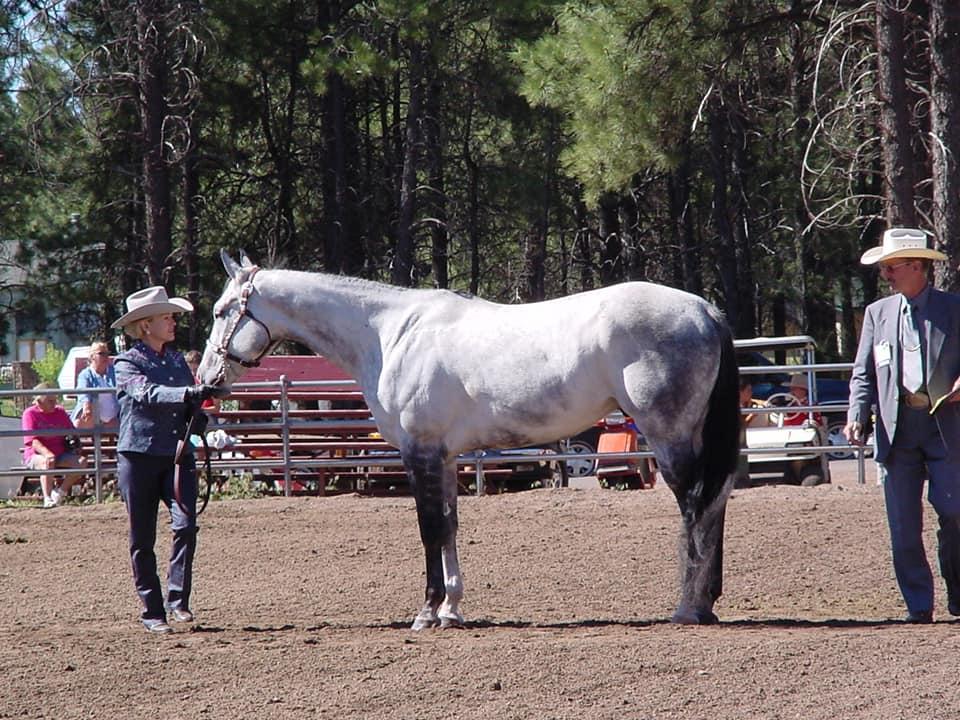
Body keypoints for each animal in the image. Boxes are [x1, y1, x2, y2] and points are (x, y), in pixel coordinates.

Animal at [198, 250, 741, 628]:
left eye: (222, 310)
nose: (205, 381)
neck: (390, 334)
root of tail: (704, 310)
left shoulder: (417, 452)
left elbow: (429, 529)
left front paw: (426, 611)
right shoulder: (444, 457)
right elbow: (450, 527)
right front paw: (452, 610)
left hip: (669, 434)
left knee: (695, 503)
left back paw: (688, 607)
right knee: (716, 499)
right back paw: (707, 601)